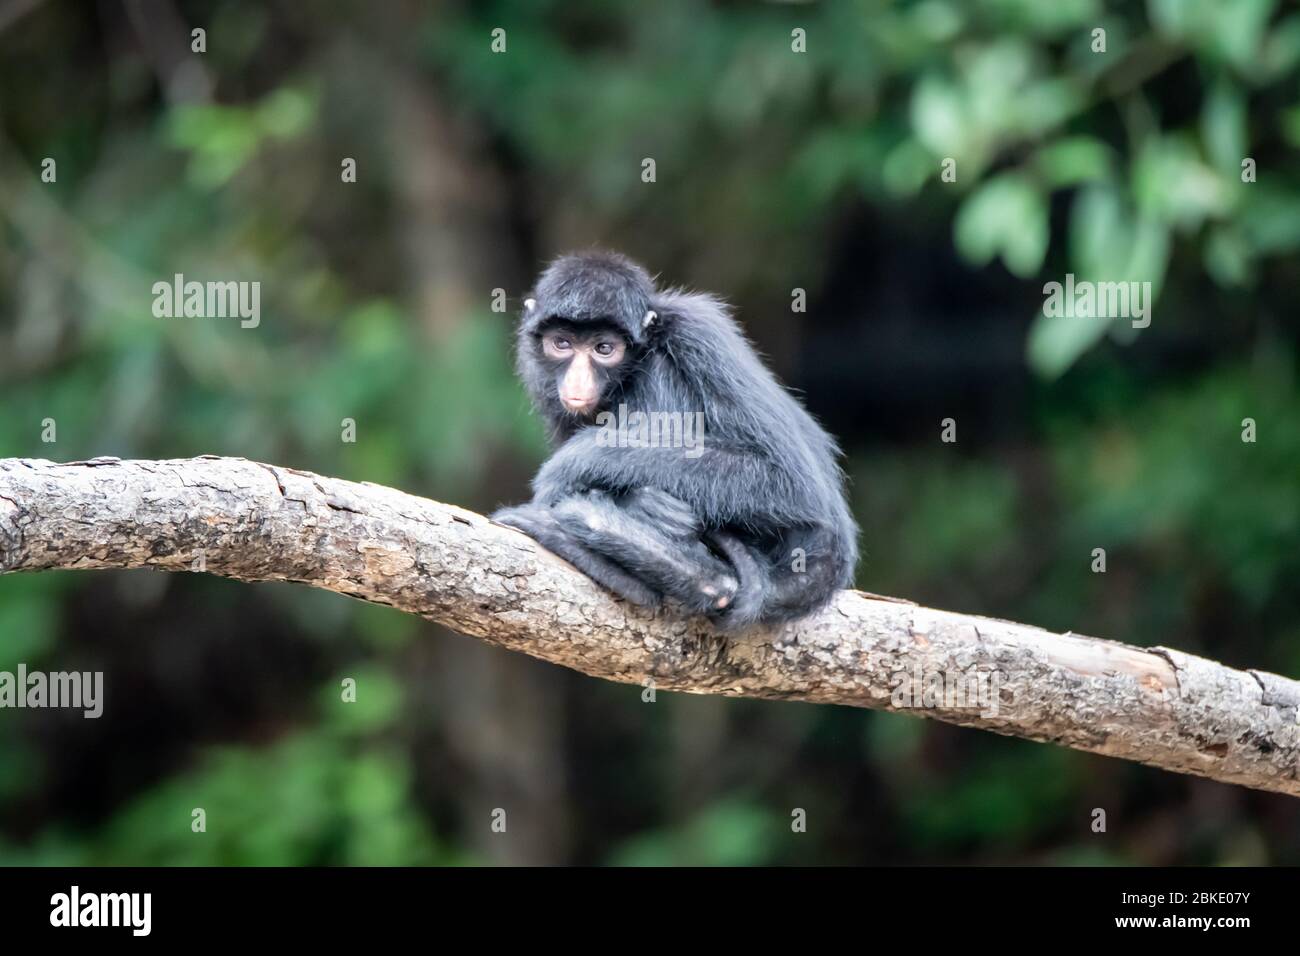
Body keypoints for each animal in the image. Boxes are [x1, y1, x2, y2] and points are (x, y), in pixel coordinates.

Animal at [492, 250, 858, 630]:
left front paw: (573, 464)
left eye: (604, 348)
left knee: (657, 367)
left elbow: (793, 485)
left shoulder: (698, 330)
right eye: (562, 344)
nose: (578, 381)